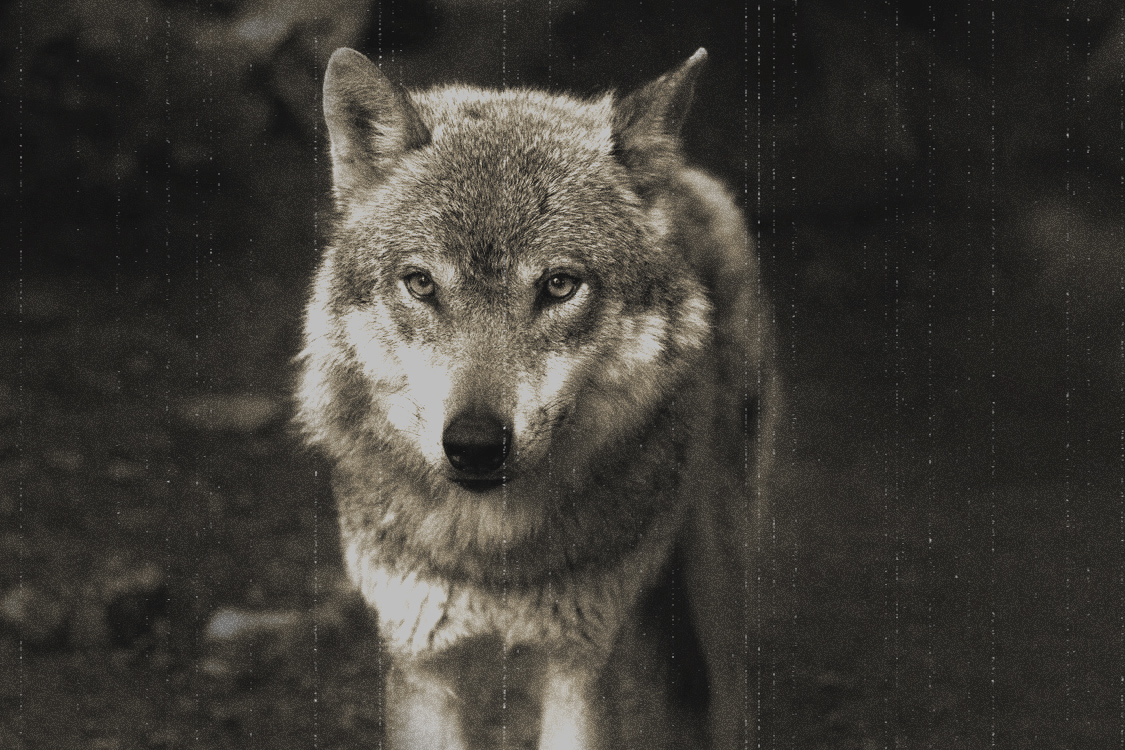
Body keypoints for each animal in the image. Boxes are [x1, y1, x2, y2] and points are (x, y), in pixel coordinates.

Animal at [296, 46, 779, 750]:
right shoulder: (421, 663)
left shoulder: (581, 665)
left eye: (558, 285)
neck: (493, 556)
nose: (474, 444)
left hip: (718, 576)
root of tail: (685, 177)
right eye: (420, 283)